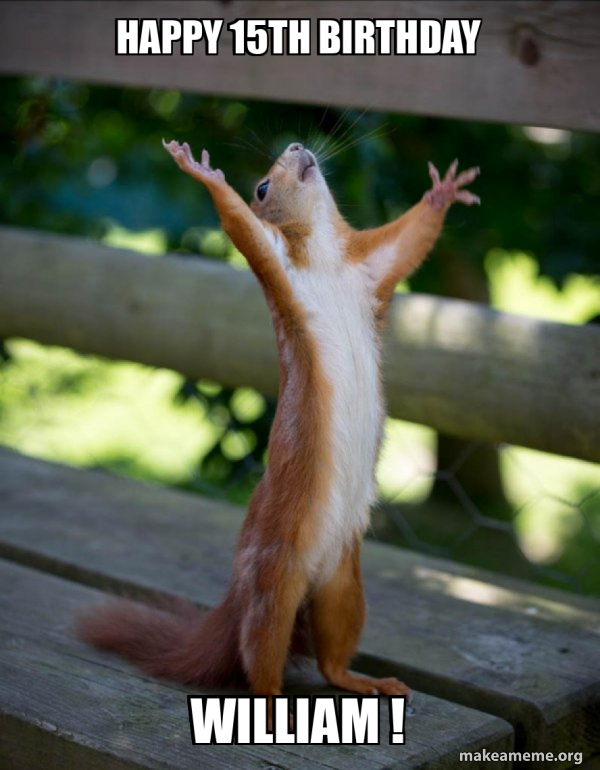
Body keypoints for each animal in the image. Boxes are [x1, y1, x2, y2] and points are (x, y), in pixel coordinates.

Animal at [77, 138, 479, 718]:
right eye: (262, 187)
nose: (296, 146)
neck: (327, 258)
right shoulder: (277, 264)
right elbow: (240, 225)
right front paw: (204, 174)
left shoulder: (371, 267)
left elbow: (410, 240)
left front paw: (443, 192)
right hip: (273, 584)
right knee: (259, 656)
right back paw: (270, 704)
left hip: (343, 586)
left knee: (331, 659)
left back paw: (365, 681)